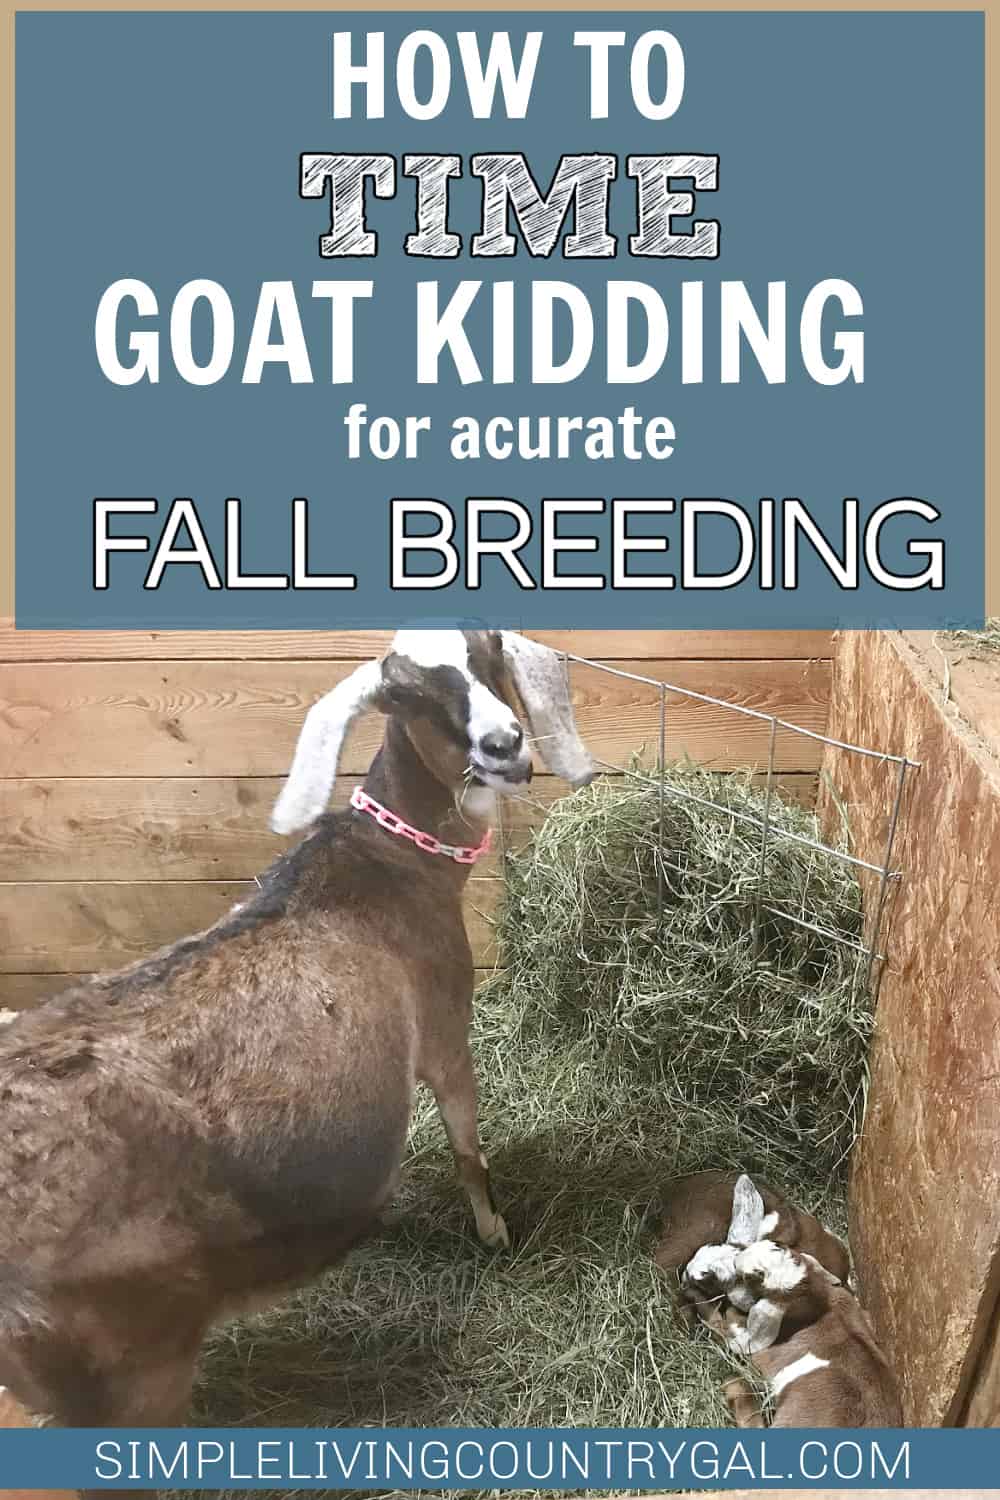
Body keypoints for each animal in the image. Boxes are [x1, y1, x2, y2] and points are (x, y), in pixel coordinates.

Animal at [0, 629, 594, 1435]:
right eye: (405, 694)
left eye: (488, 651)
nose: (503, 744)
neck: (382, 864)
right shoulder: (445, 1030)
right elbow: (469, 1151)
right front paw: (496, 1232)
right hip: (130, 1361)